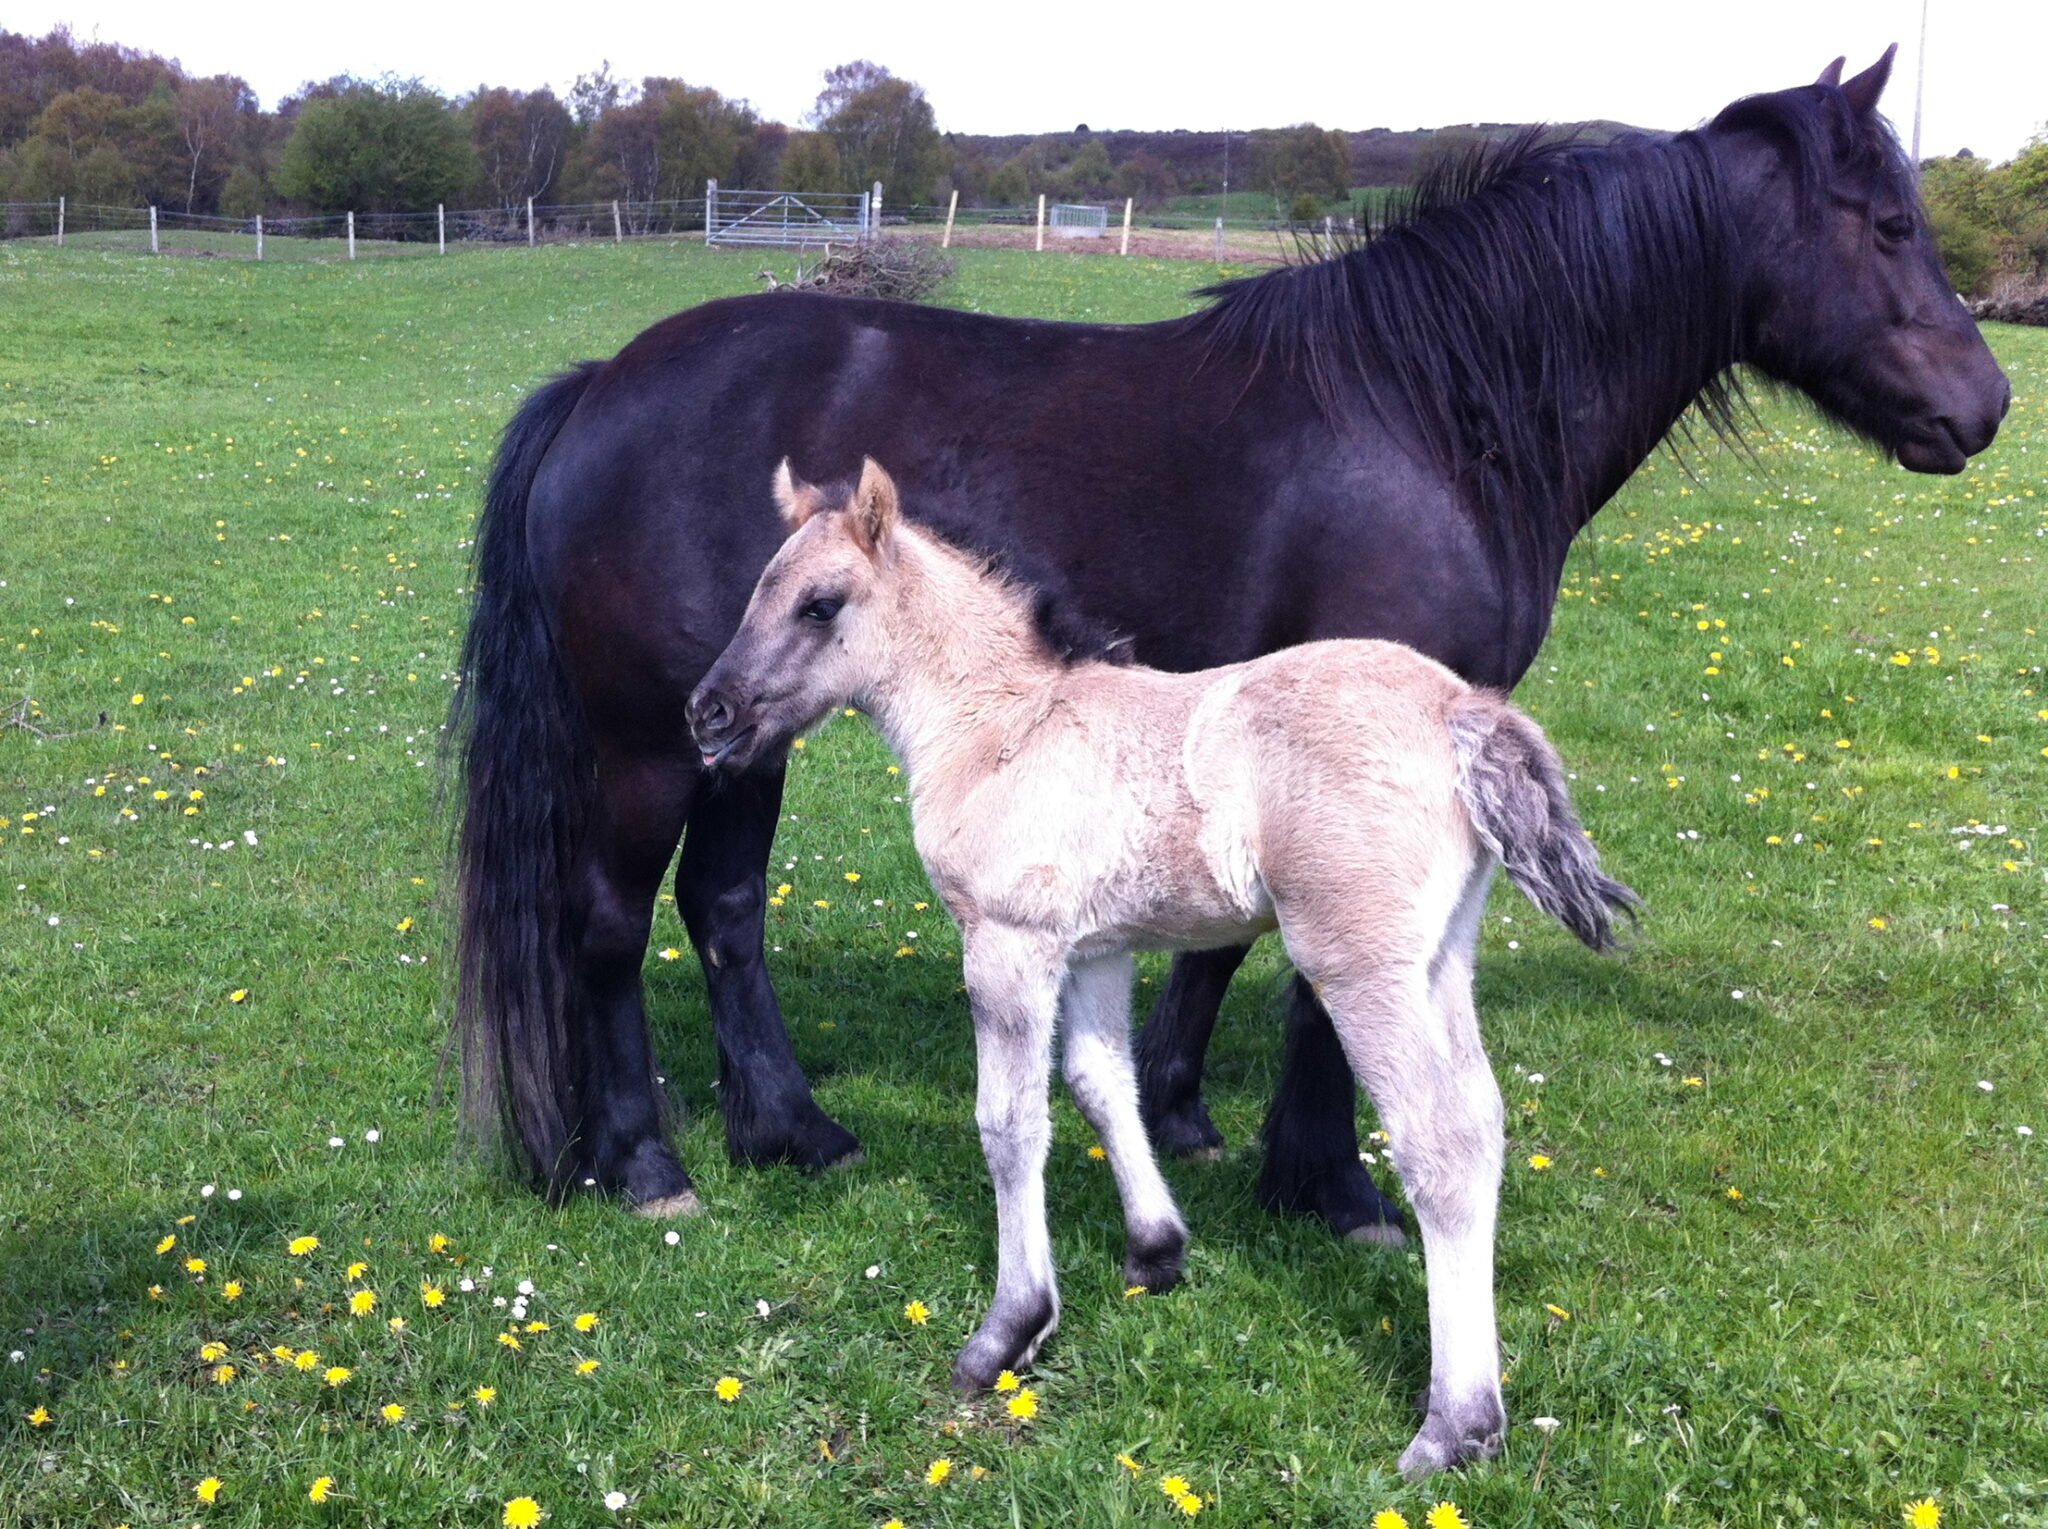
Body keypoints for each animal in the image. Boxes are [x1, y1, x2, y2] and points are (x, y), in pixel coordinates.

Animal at [452, 50, 2008, 1226]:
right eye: (1886, 226)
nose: (1985, 404)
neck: (1429, 413)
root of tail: (603, 384)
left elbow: (1223, 942)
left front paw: (1179, 1109)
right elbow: (1324, 978)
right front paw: (1332, 1187)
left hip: (746, 729)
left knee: (723, 911)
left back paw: (794, 1132)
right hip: (657, 740)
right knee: (608, 925)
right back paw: (644, 1163)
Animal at [687, 459, 1637, 1477]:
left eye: (820, 603)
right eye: (757, 590)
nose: (707, 712)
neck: (1002, 725)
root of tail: (1464, 709)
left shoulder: (1008, 942)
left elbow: (1010, 1124)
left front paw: (1009, 1329)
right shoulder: (1098, 949)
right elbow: (1103, 1081)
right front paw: (1156, 1250)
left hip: (1360, 964)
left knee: (1441, 1141)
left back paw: (1455, 1422)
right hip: (1440, 957)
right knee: (1483, 1120)